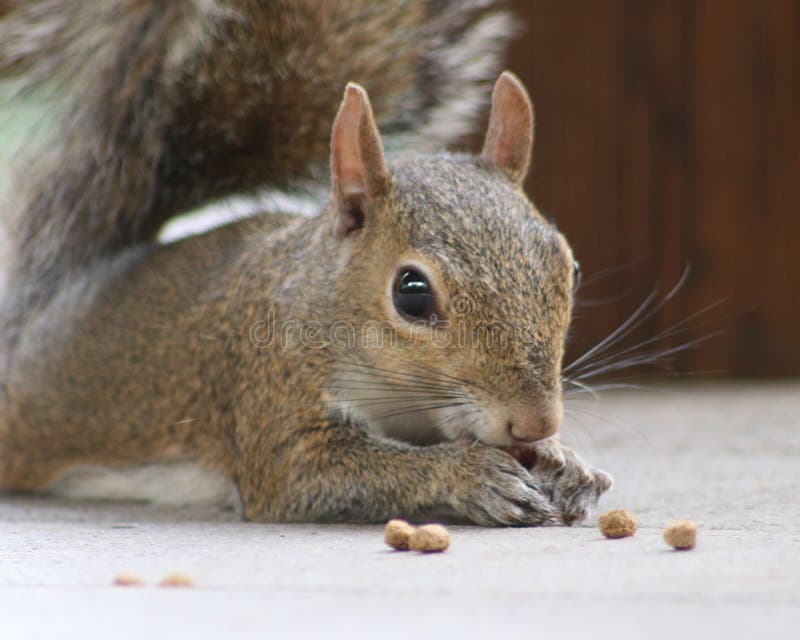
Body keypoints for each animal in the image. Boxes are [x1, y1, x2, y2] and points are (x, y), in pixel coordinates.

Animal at [0, 1, 611, 525]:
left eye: (572, 270)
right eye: (411, 293)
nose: (536, 421)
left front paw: (567, 464)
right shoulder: (271, 392)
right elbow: (304, 472)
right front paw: (471, 475)